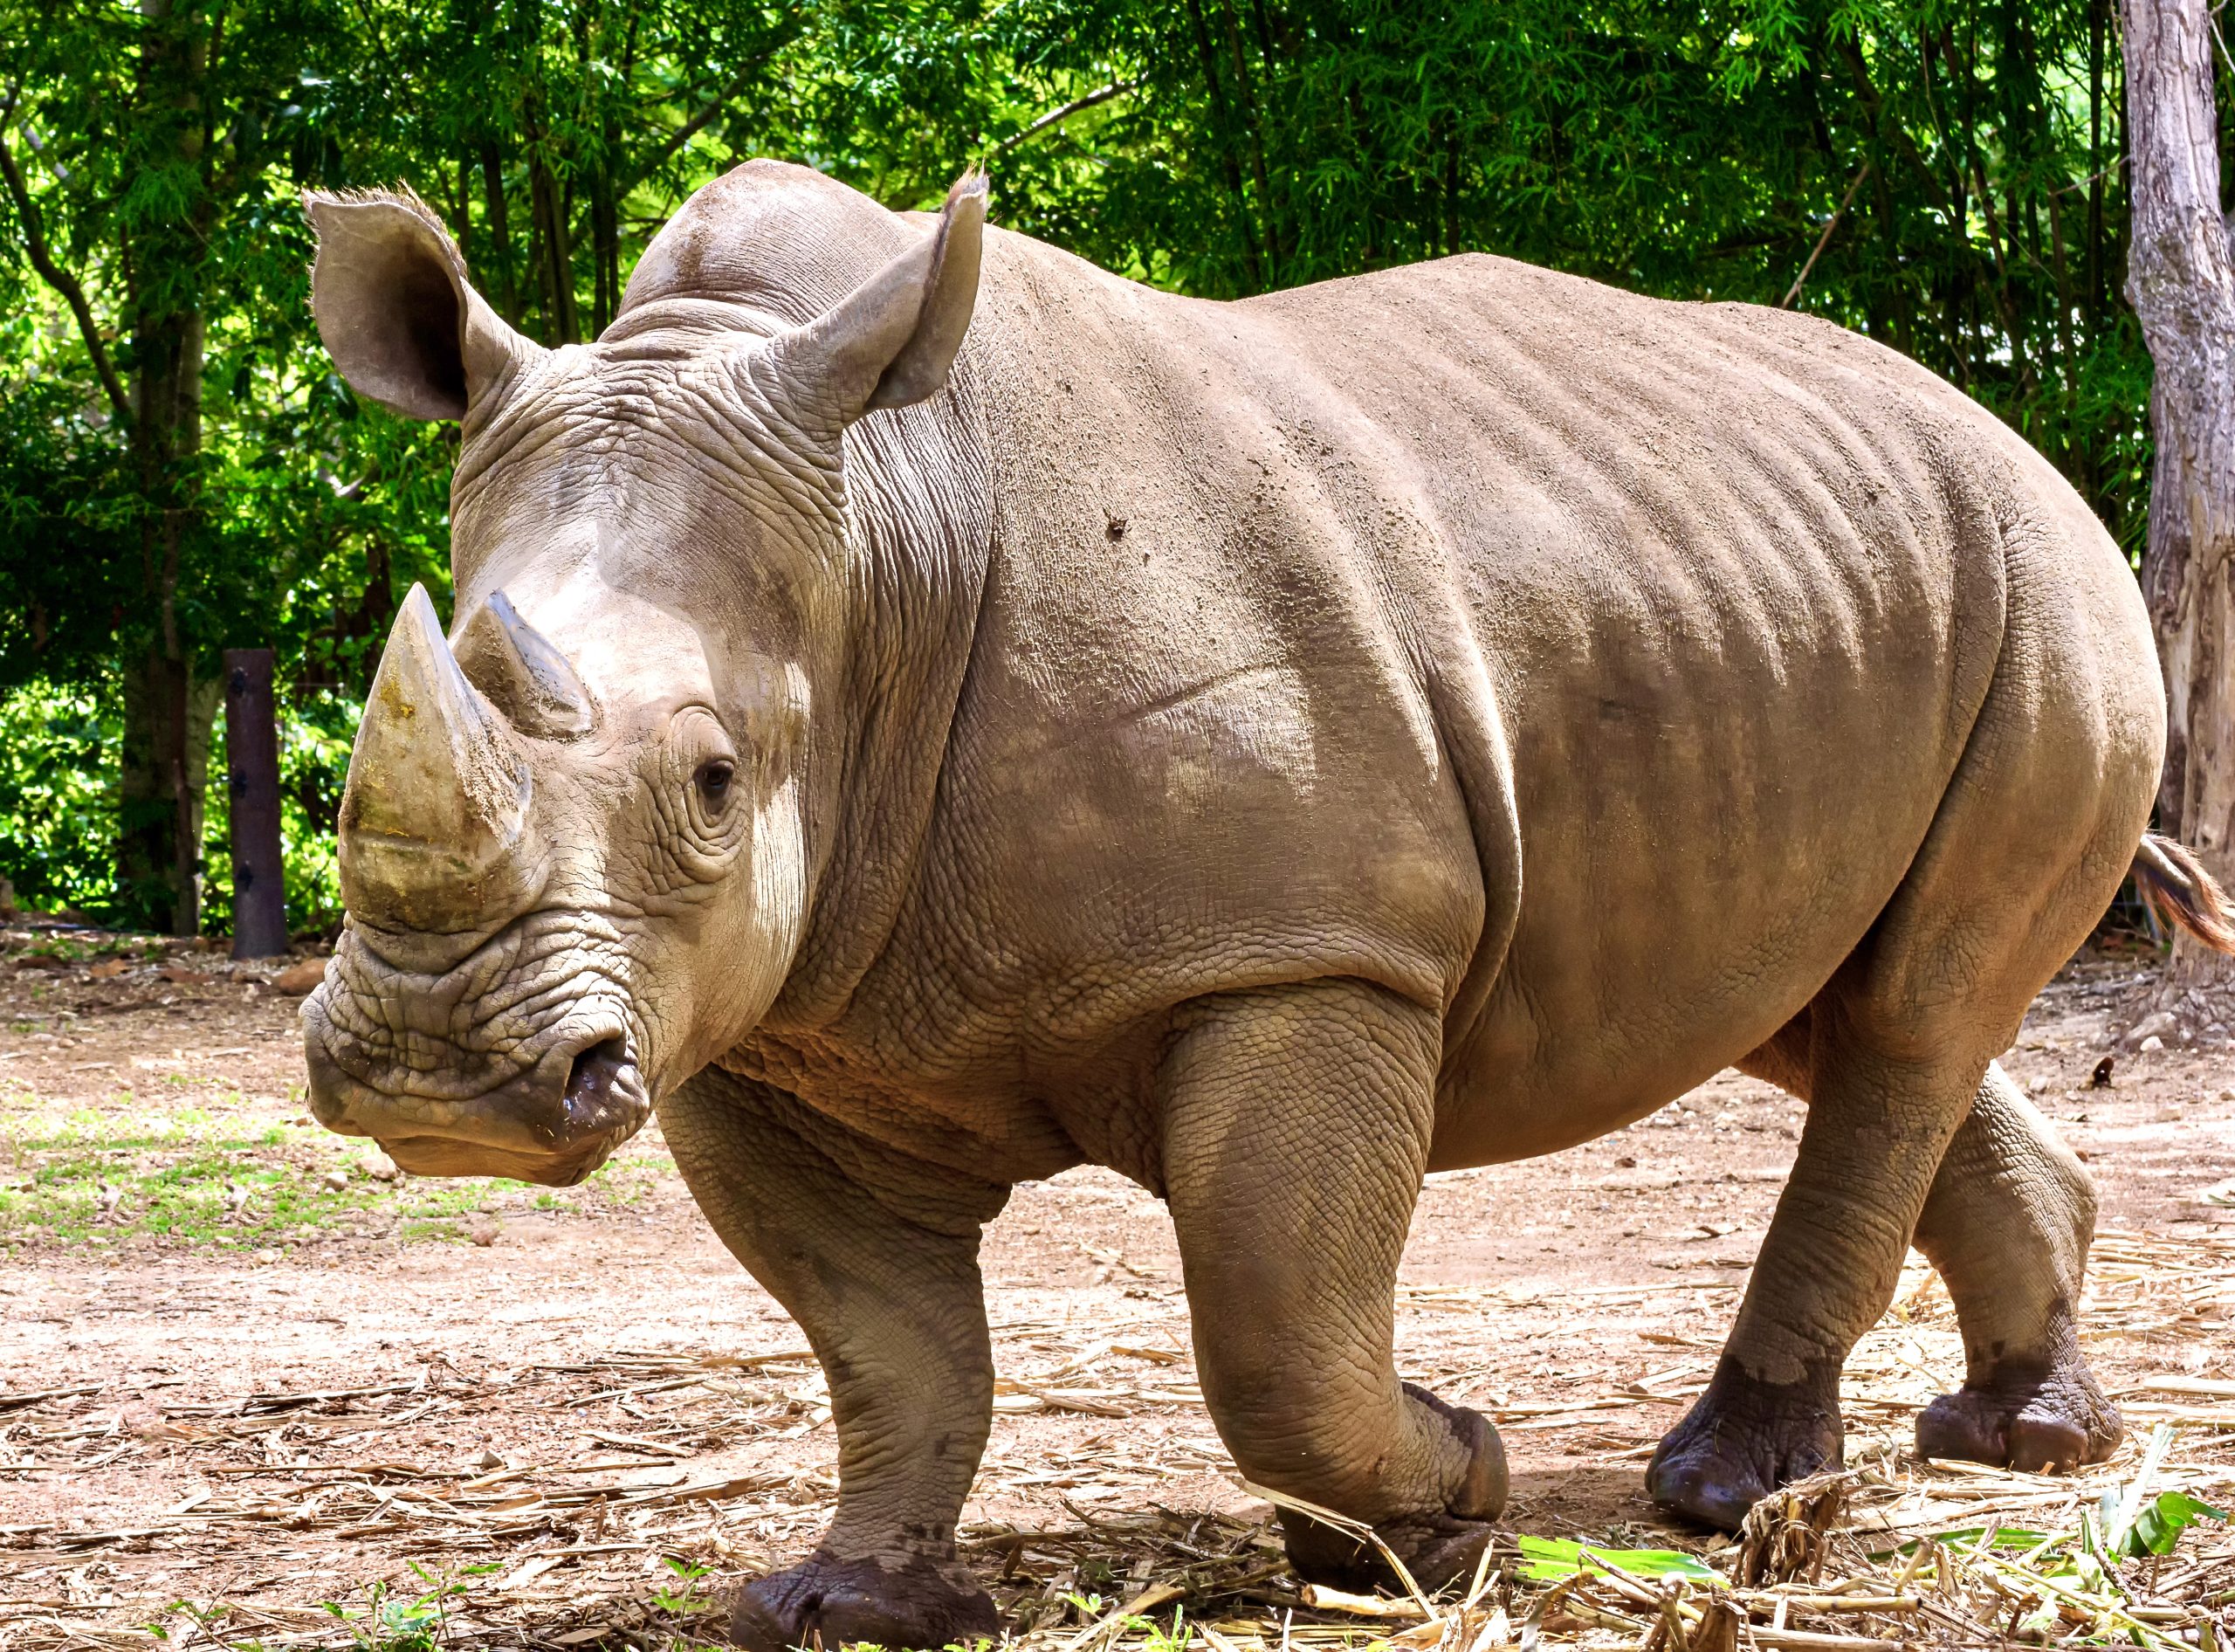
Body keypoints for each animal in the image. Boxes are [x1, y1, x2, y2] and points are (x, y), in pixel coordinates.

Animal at [300, 160, 2235, 1649]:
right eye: (341, 789)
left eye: (711, 783)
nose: (438, 1081)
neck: (881, 541)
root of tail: (2011, 433)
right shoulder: (767, 1021)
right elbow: (885, 1337)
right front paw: (845, 1602)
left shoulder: (1303, 952)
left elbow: (1272, 1322)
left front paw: (1439, 1500)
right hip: (1789, 606)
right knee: (1827, 1006)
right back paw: (2023, 1438)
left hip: (2052, 591)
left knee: (1900, 1015)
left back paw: (1722, 1488)